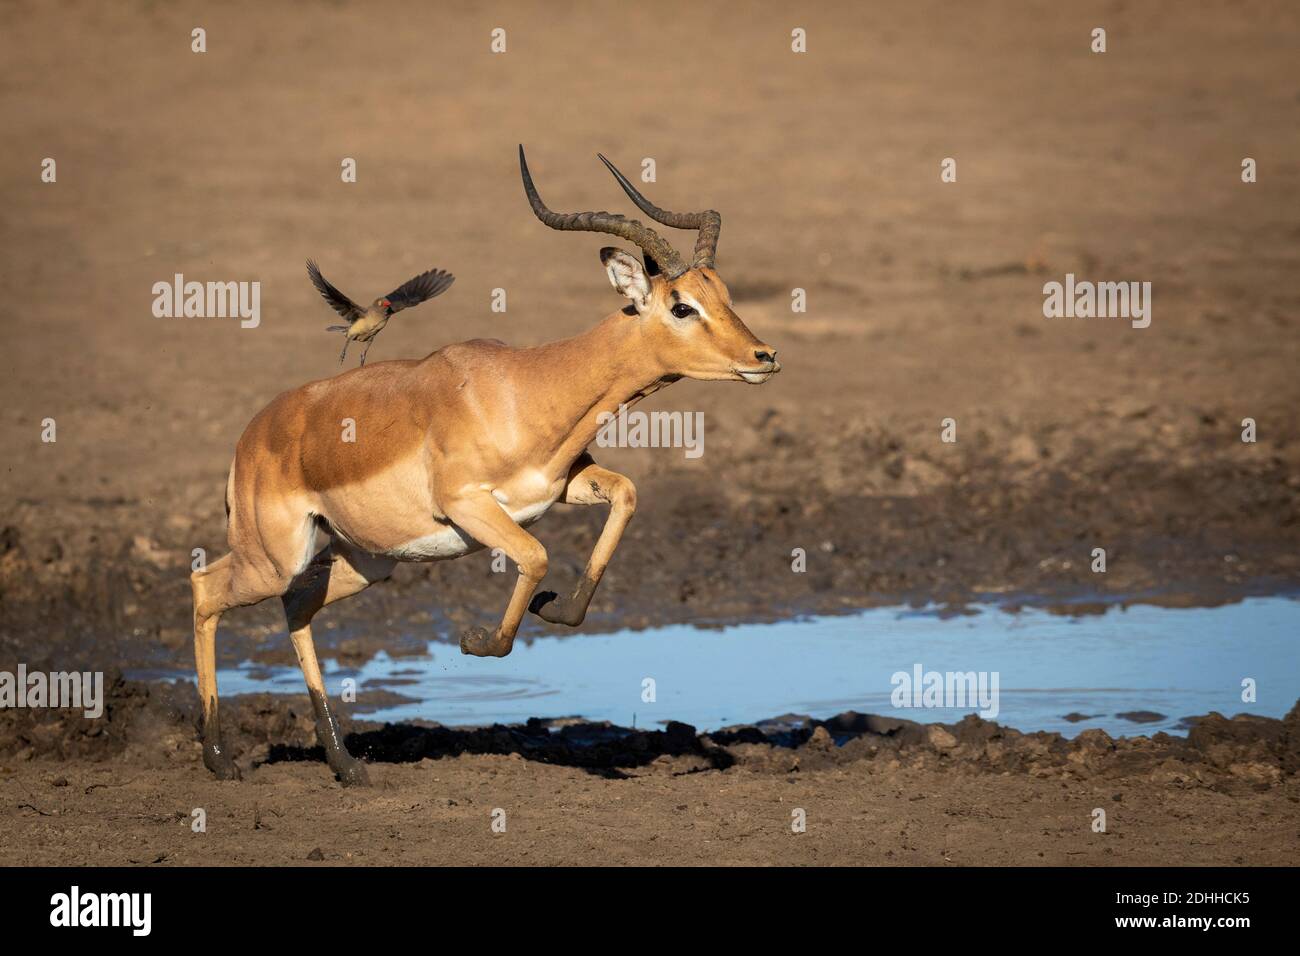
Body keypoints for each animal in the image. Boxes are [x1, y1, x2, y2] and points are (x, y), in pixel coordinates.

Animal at [190, 148, 781, 784]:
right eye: (681, 306)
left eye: (722, 292)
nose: (764, 356)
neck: (524, 386)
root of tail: (251, 437)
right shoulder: (467, 505)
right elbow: (537, 556)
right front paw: (477, 640)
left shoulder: (559, 485)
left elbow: (625, 493)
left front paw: (558, 608)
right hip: (275, 559)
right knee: (205, 588)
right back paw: (220, 759)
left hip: (365, 560)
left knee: (297, 604)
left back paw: (345, 763)